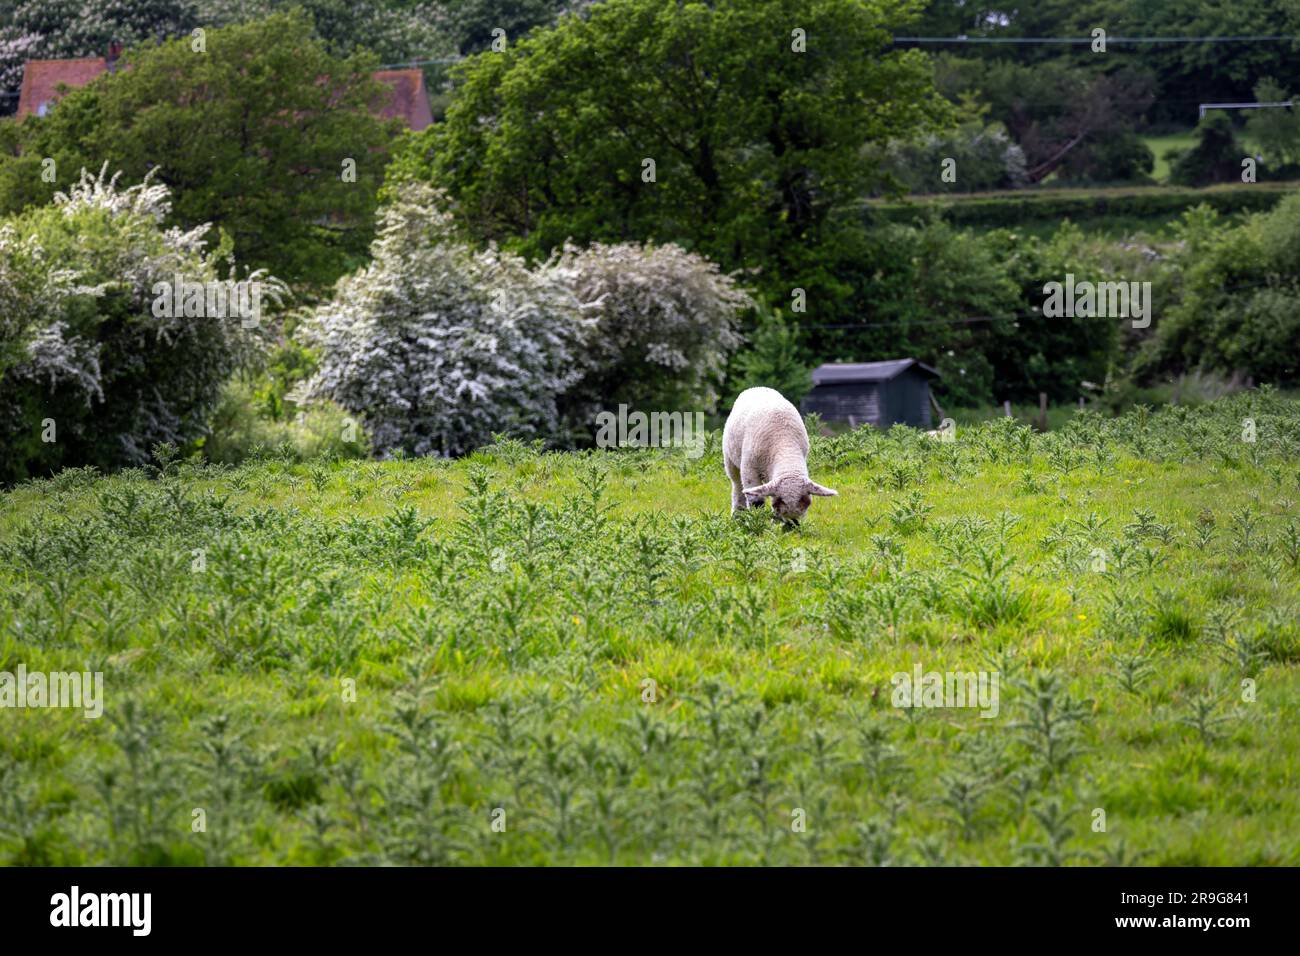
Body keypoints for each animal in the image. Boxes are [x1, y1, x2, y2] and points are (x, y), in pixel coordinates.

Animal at [723, 386, 837, 524]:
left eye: (807, 502)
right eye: (779, 502)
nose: (793, 523)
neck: (784, 442)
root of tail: (757, 387)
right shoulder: (749, 469)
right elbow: (756, 501)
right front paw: (757, 520)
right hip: (730, 460)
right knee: (737, 486)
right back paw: (737, 515)